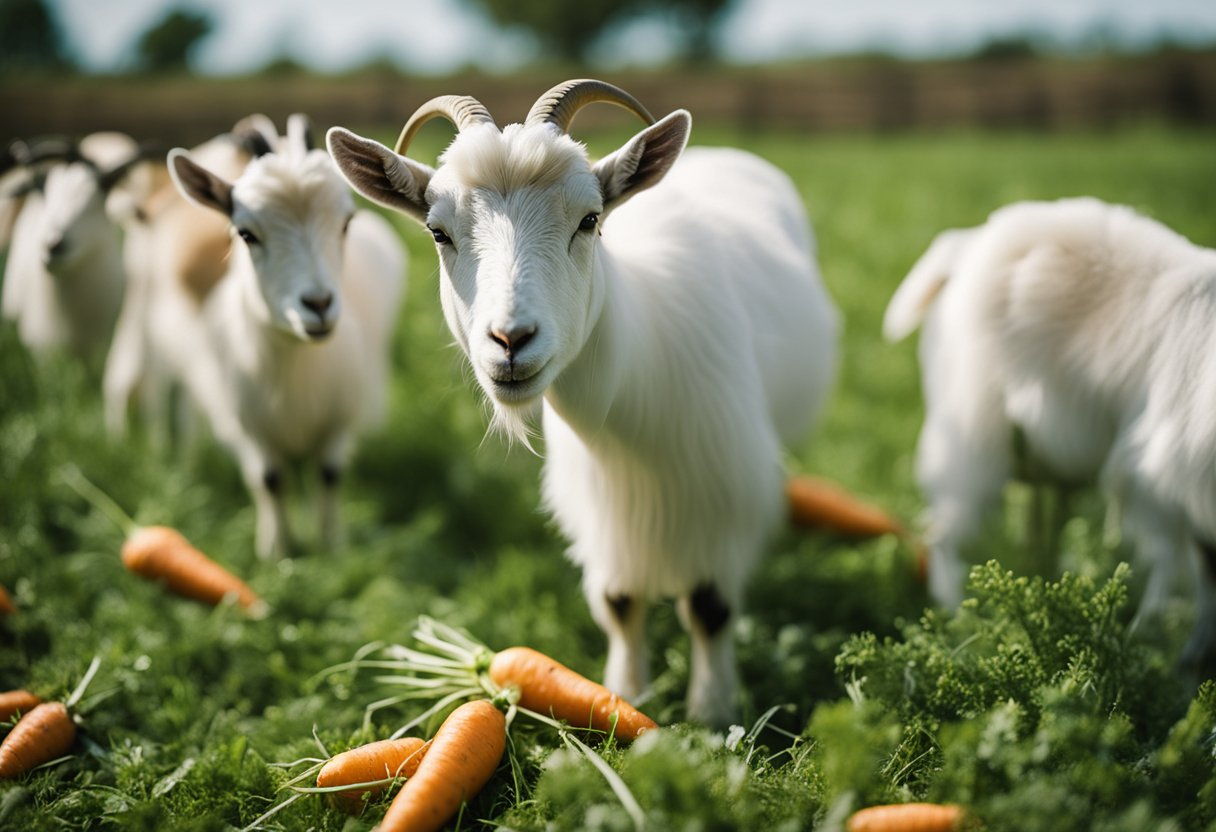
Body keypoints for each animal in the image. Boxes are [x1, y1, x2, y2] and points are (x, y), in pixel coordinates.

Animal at [168, 114, 406, 558]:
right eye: (246, 234)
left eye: (345, 223)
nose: (318, 304)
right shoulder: (249, 428)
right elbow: (269, 479)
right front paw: (277, 551)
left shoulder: (340, 418)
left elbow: (329, 473)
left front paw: (331, 546)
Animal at [326, 80, 838, 725]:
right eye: (438, 233)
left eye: (590, 219)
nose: (511, 339)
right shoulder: (602, 509)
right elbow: (620, 602)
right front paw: (626, 698)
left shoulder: (722, 491)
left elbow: (710, 606)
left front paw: (713, 714)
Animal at [883, 196, 1216, 671]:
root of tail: (964, 245)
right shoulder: (1160, 478)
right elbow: (1186, 570)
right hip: (973, 446)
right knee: (942, 533)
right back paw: (957, 621)